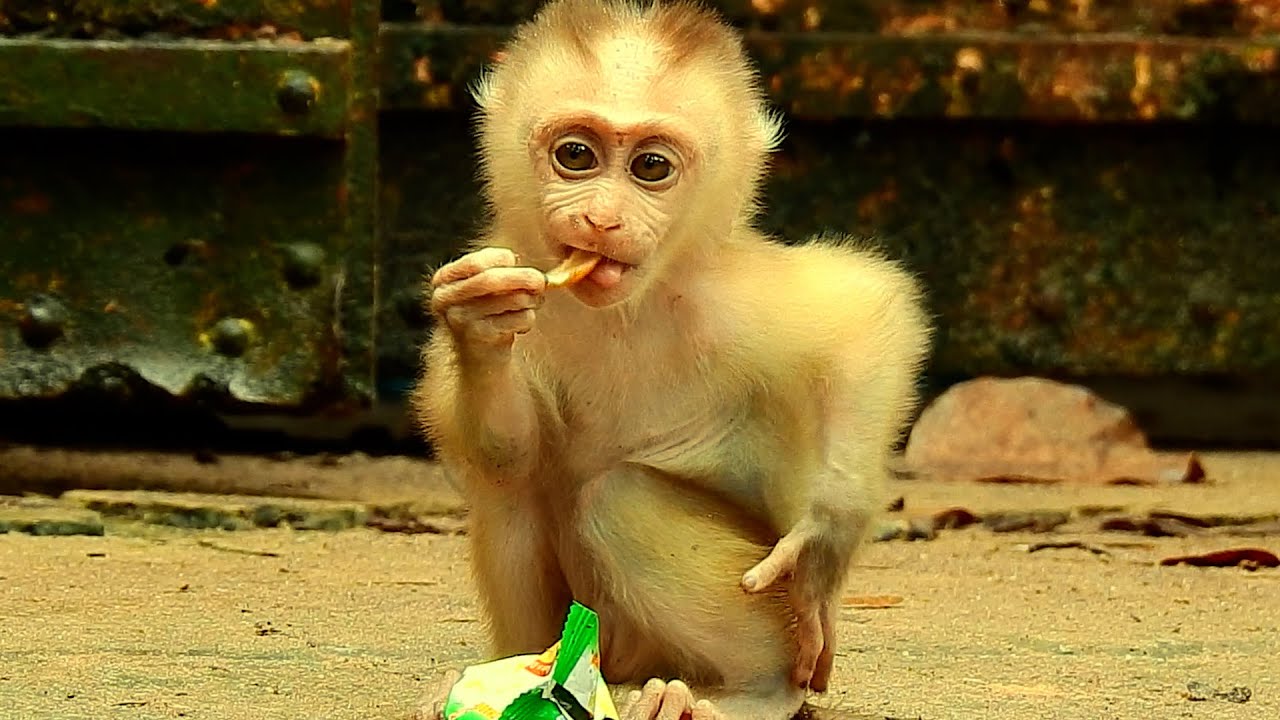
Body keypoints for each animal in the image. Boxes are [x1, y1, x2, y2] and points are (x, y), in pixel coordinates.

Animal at [411, 1, 932, 718]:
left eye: (651, 168)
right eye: (576, 155)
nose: (601, 221)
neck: (627, 307)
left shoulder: (729, 297)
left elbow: (867, 319)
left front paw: (825, 540)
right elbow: (506, 453)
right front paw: (480, 324)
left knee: (619, 499)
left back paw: (746, 692)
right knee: (511, 494)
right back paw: (519, 669)